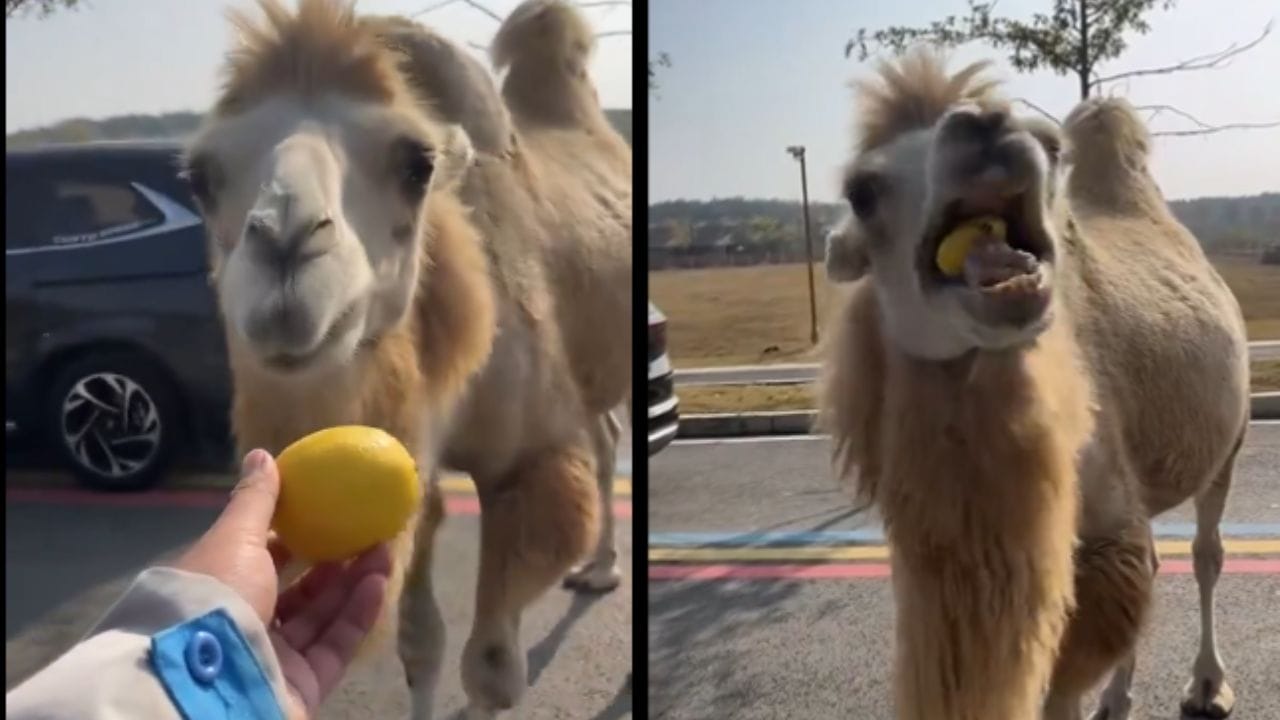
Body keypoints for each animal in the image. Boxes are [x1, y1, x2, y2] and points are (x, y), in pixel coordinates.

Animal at [181, 0, 631, 717]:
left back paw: (605, 569)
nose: (285, 245)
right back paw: (594, 570)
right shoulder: (416, 458)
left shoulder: (529, 461)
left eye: (416, 164)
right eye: (200, 176)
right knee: (606, 431)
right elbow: (421, 644)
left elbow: (492, 668)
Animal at [818, 49, 1249, 720]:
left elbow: (1068, 670)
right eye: (860, 192)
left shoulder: (1097, 523)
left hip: (1230, 440)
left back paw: (1206, 685)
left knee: (1205, 553)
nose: (985, 123)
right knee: (1156, 561)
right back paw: (1118, 699)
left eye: (1048, 144)